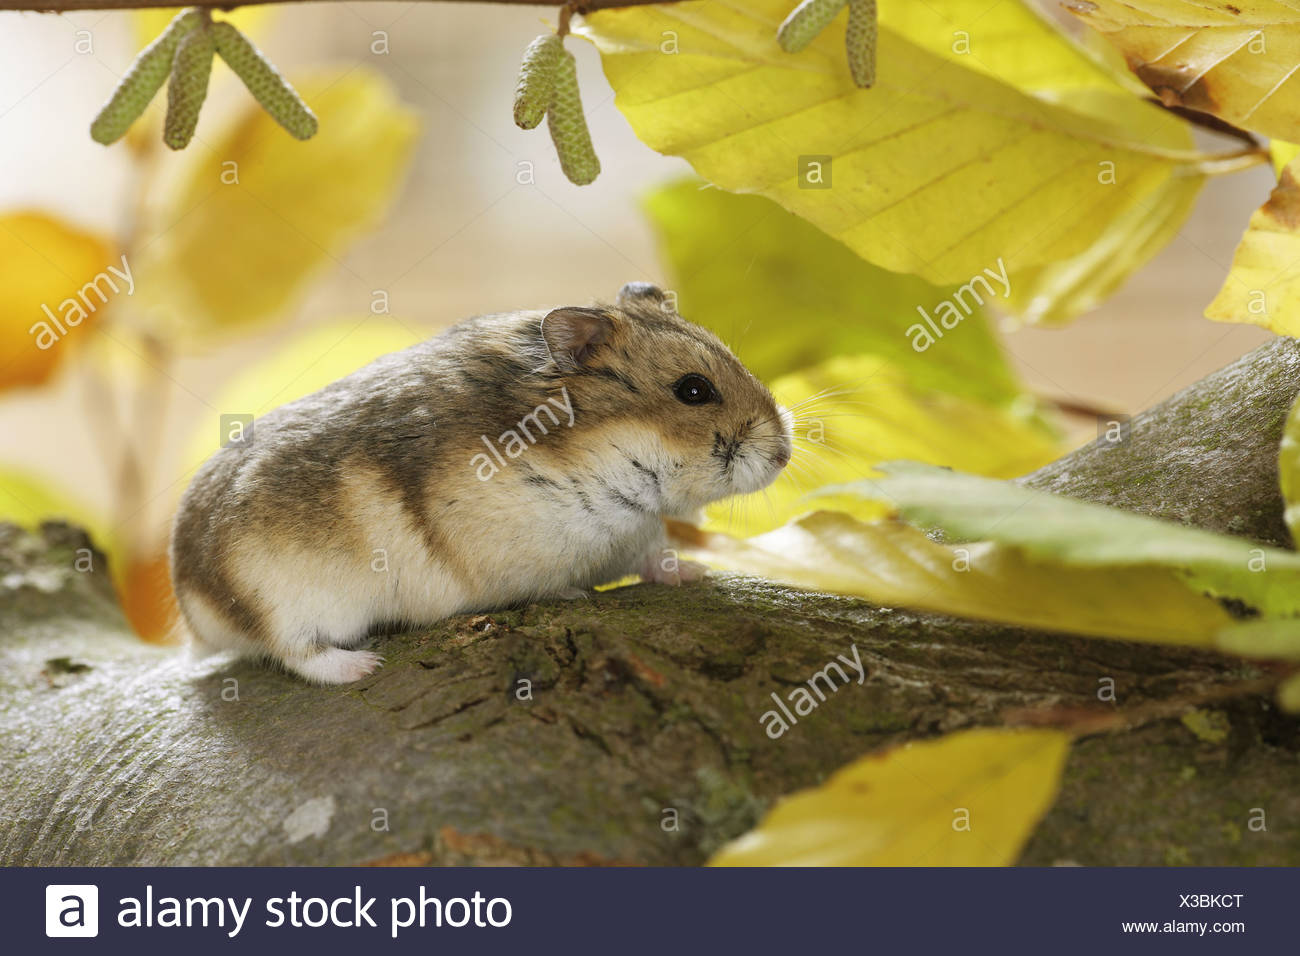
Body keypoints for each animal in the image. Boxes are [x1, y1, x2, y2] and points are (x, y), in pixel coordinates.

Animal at [170, 282, 794, 684]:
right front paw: (577, 594)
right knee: (294, 653)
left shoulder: (637, 536)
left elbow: (656, 557)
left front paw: (695, 571)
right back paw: (361, 666)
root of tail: (194, 603)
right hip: (287, 597)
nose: (784, 454)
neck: (604, 452)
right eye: (694, 390)